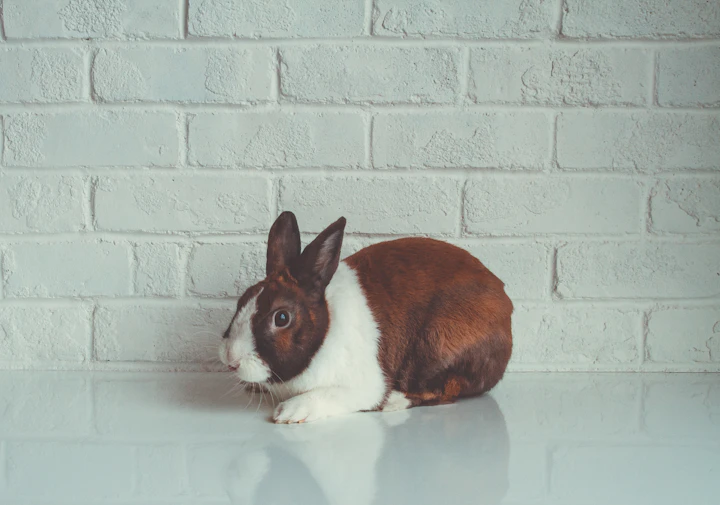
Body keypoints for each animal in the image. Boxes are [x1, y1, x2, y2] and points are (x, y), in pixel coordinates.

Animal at [219, 211, 513, 424]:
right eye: (242, 300)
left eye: (281, 318)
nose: (231, 360)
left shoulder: (361, 385)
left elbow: (329, 394)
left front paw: (290, 412)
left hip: (437, 346)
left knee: (447, 389)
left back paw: (394, 401)